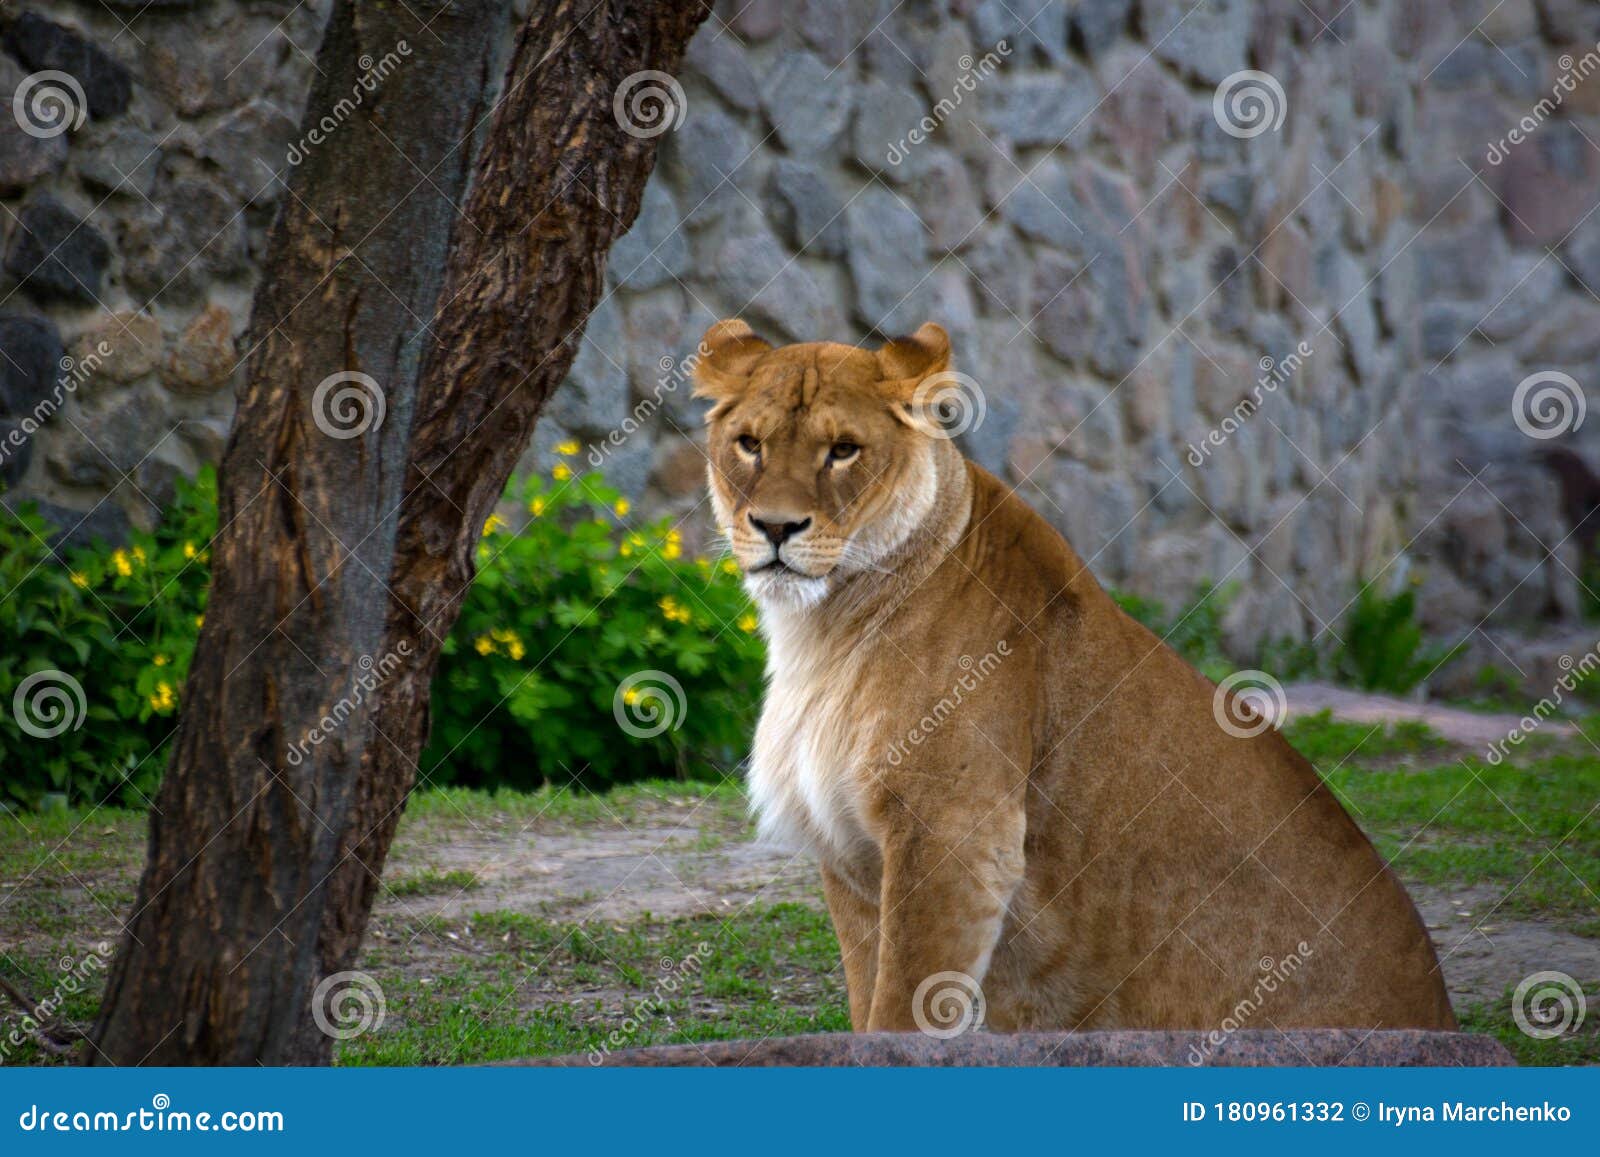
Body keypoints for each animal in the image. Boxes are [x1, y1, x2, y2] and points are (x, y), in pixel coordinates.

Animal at [692, 318, 1456, 1035]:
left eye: (844, 449)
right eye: (750, 444)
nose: (776, 527)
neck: (825, 628)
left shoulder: (954, 837)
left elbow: (897, 1014)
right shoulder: (852, 856)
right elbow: (865, 1005)